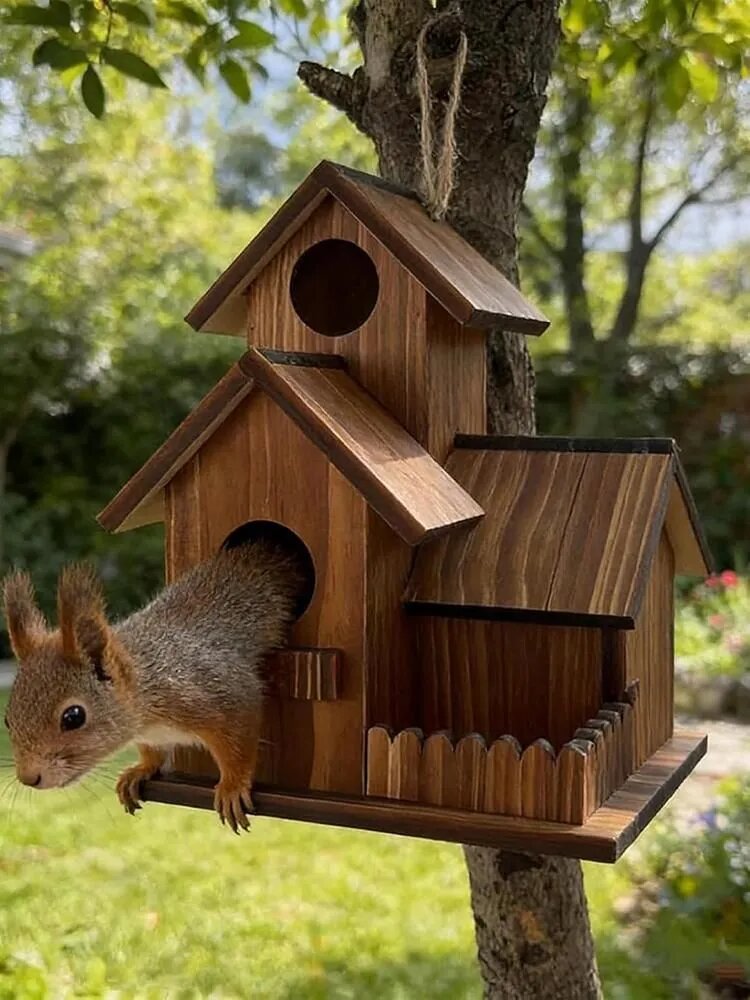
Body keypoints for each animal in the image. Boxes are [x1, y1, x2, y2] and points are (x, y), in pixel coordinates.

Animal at [2, 533, 308, 833]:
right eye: (7, 719)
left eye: (73, 716)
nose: (29, 777)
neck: (147, 692)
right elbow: (153, 753)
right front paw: (141, 770)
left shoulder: (221, 691)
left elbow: (239, 743)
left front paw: (232, 786)